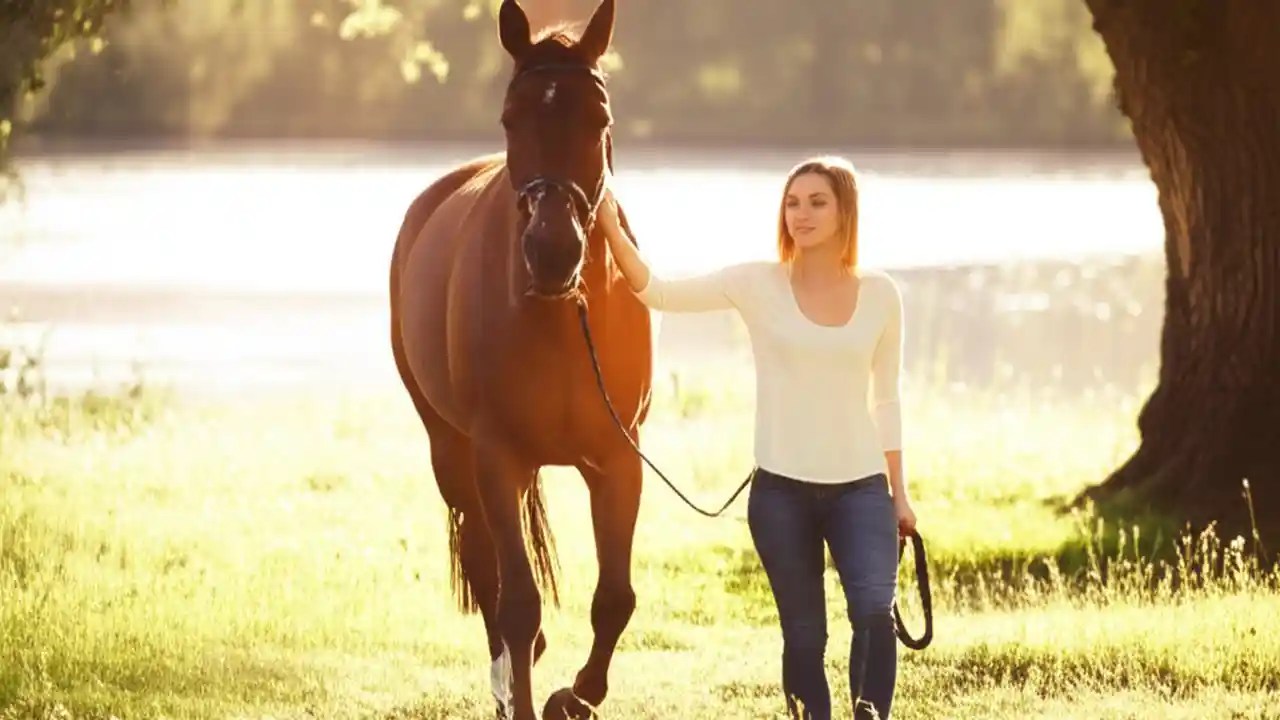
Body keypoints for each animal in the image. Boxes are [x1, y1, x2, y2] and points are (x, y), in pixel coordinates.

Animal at [388, 1, 652, 718]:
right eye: (512, 117)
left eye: (600, 120)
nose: (553, 250)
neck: (562, 321)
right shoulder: (496, 456)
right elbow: (519, 603)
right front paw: (530, 694)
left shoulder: (618, 459)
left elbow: (615, 598)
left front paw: (575, 696)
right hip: (450, 452)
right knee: (486, 564)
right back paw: (507, 679)